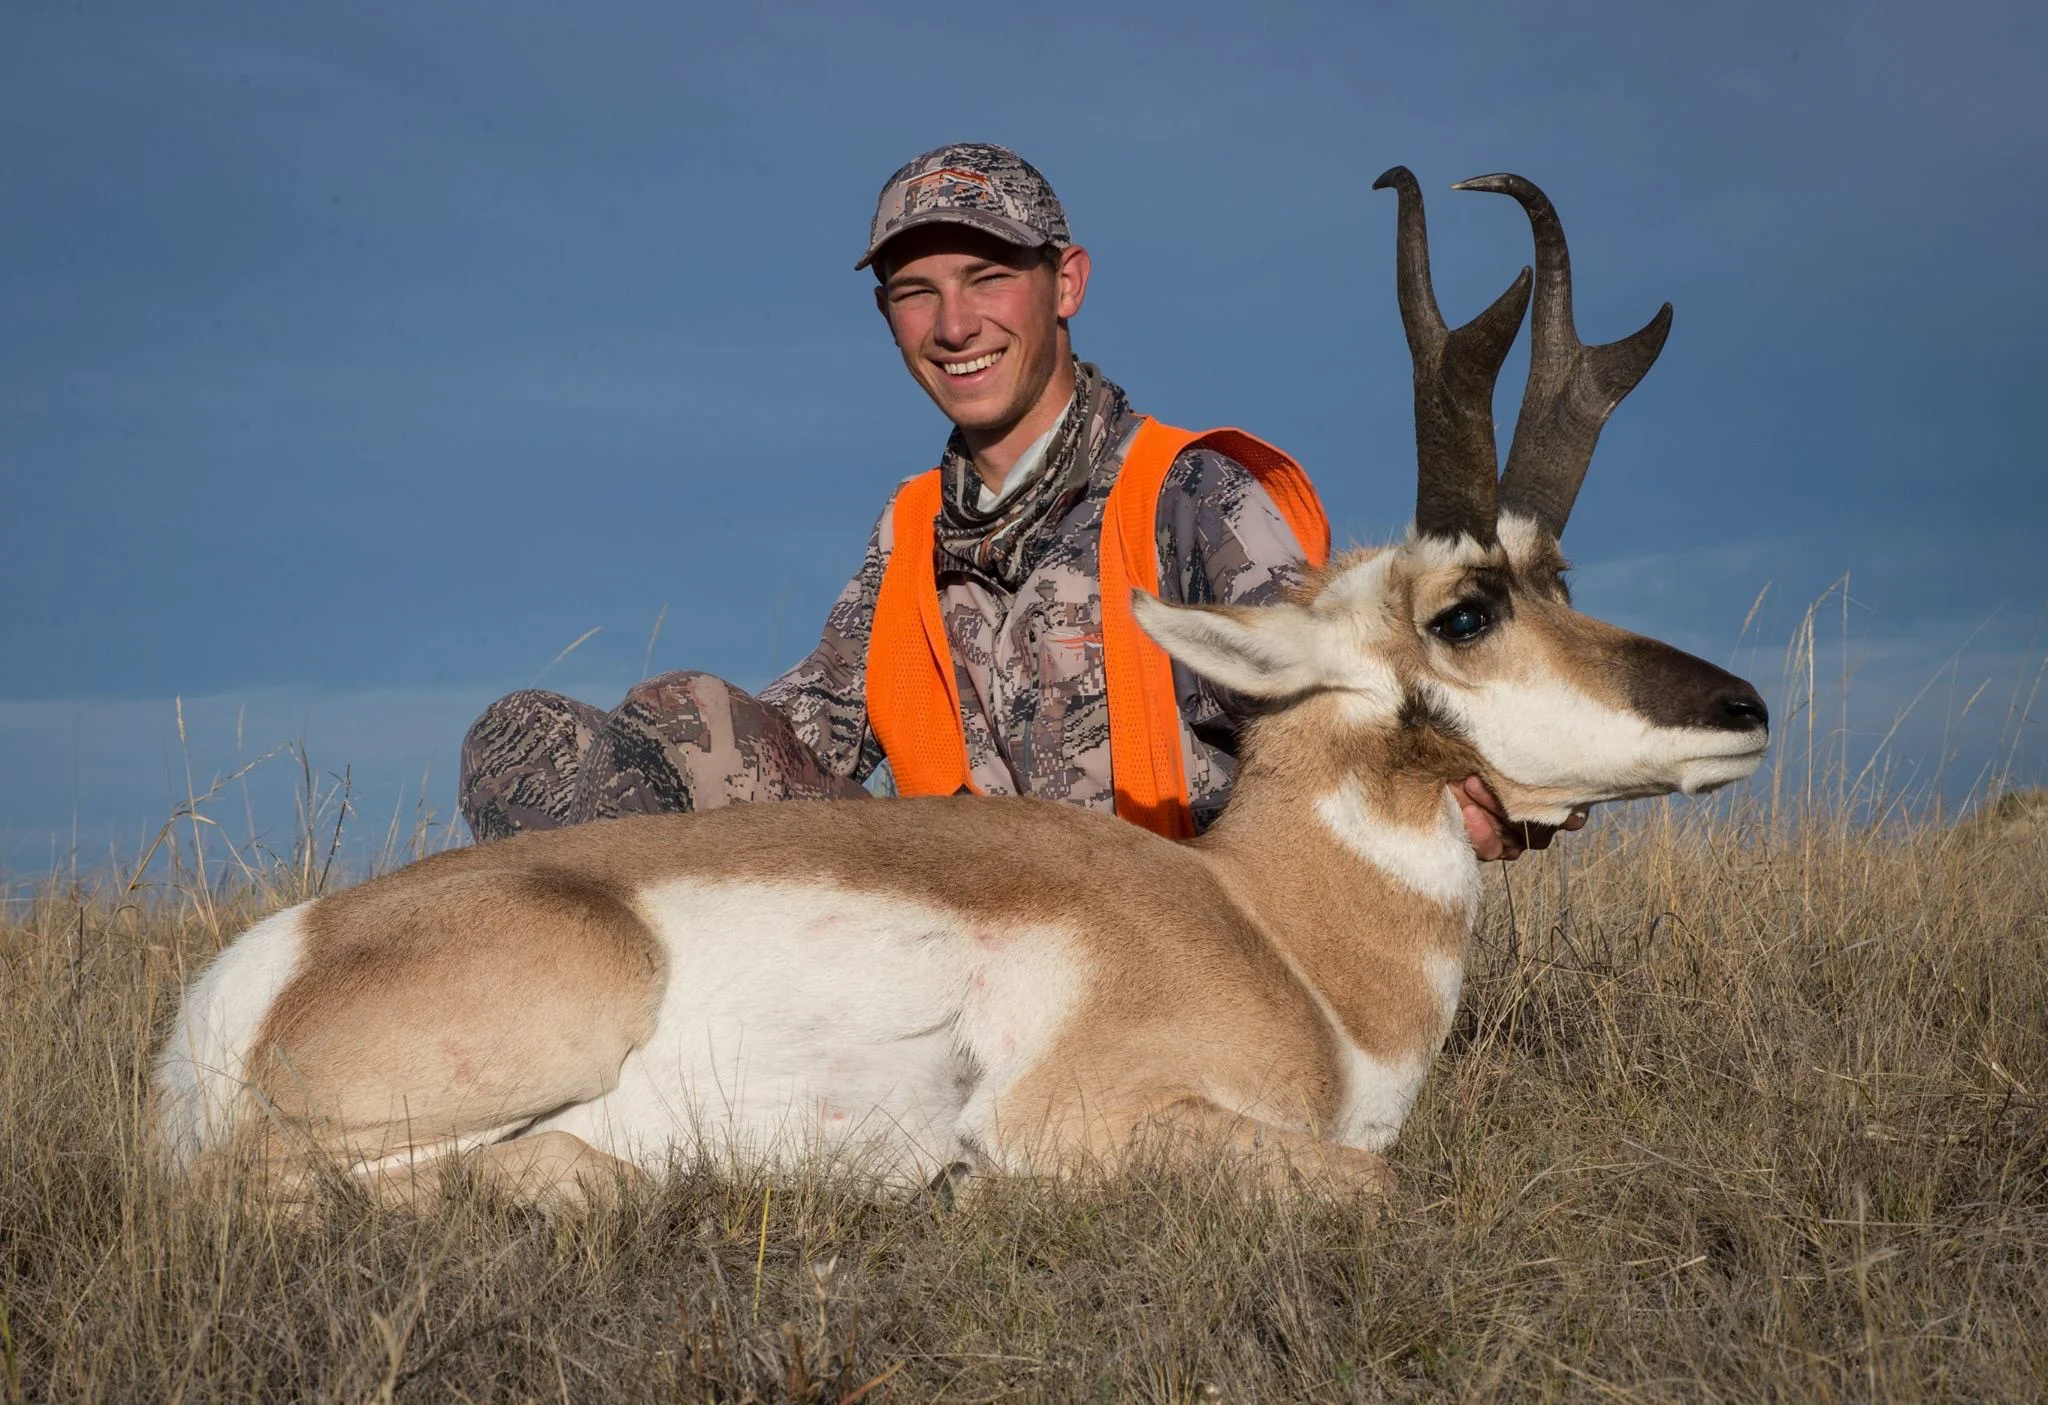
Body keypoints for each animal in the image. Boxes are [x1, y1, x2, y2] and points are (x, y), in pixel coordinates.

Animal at [153, 169, 1770, 1207]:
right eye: (1465, 609)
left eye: (1560, 572)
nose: (1743, 710)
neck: (1271, 930)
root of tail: (256, 972)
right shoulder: (1100, 1119)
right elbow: (1377, 1191)